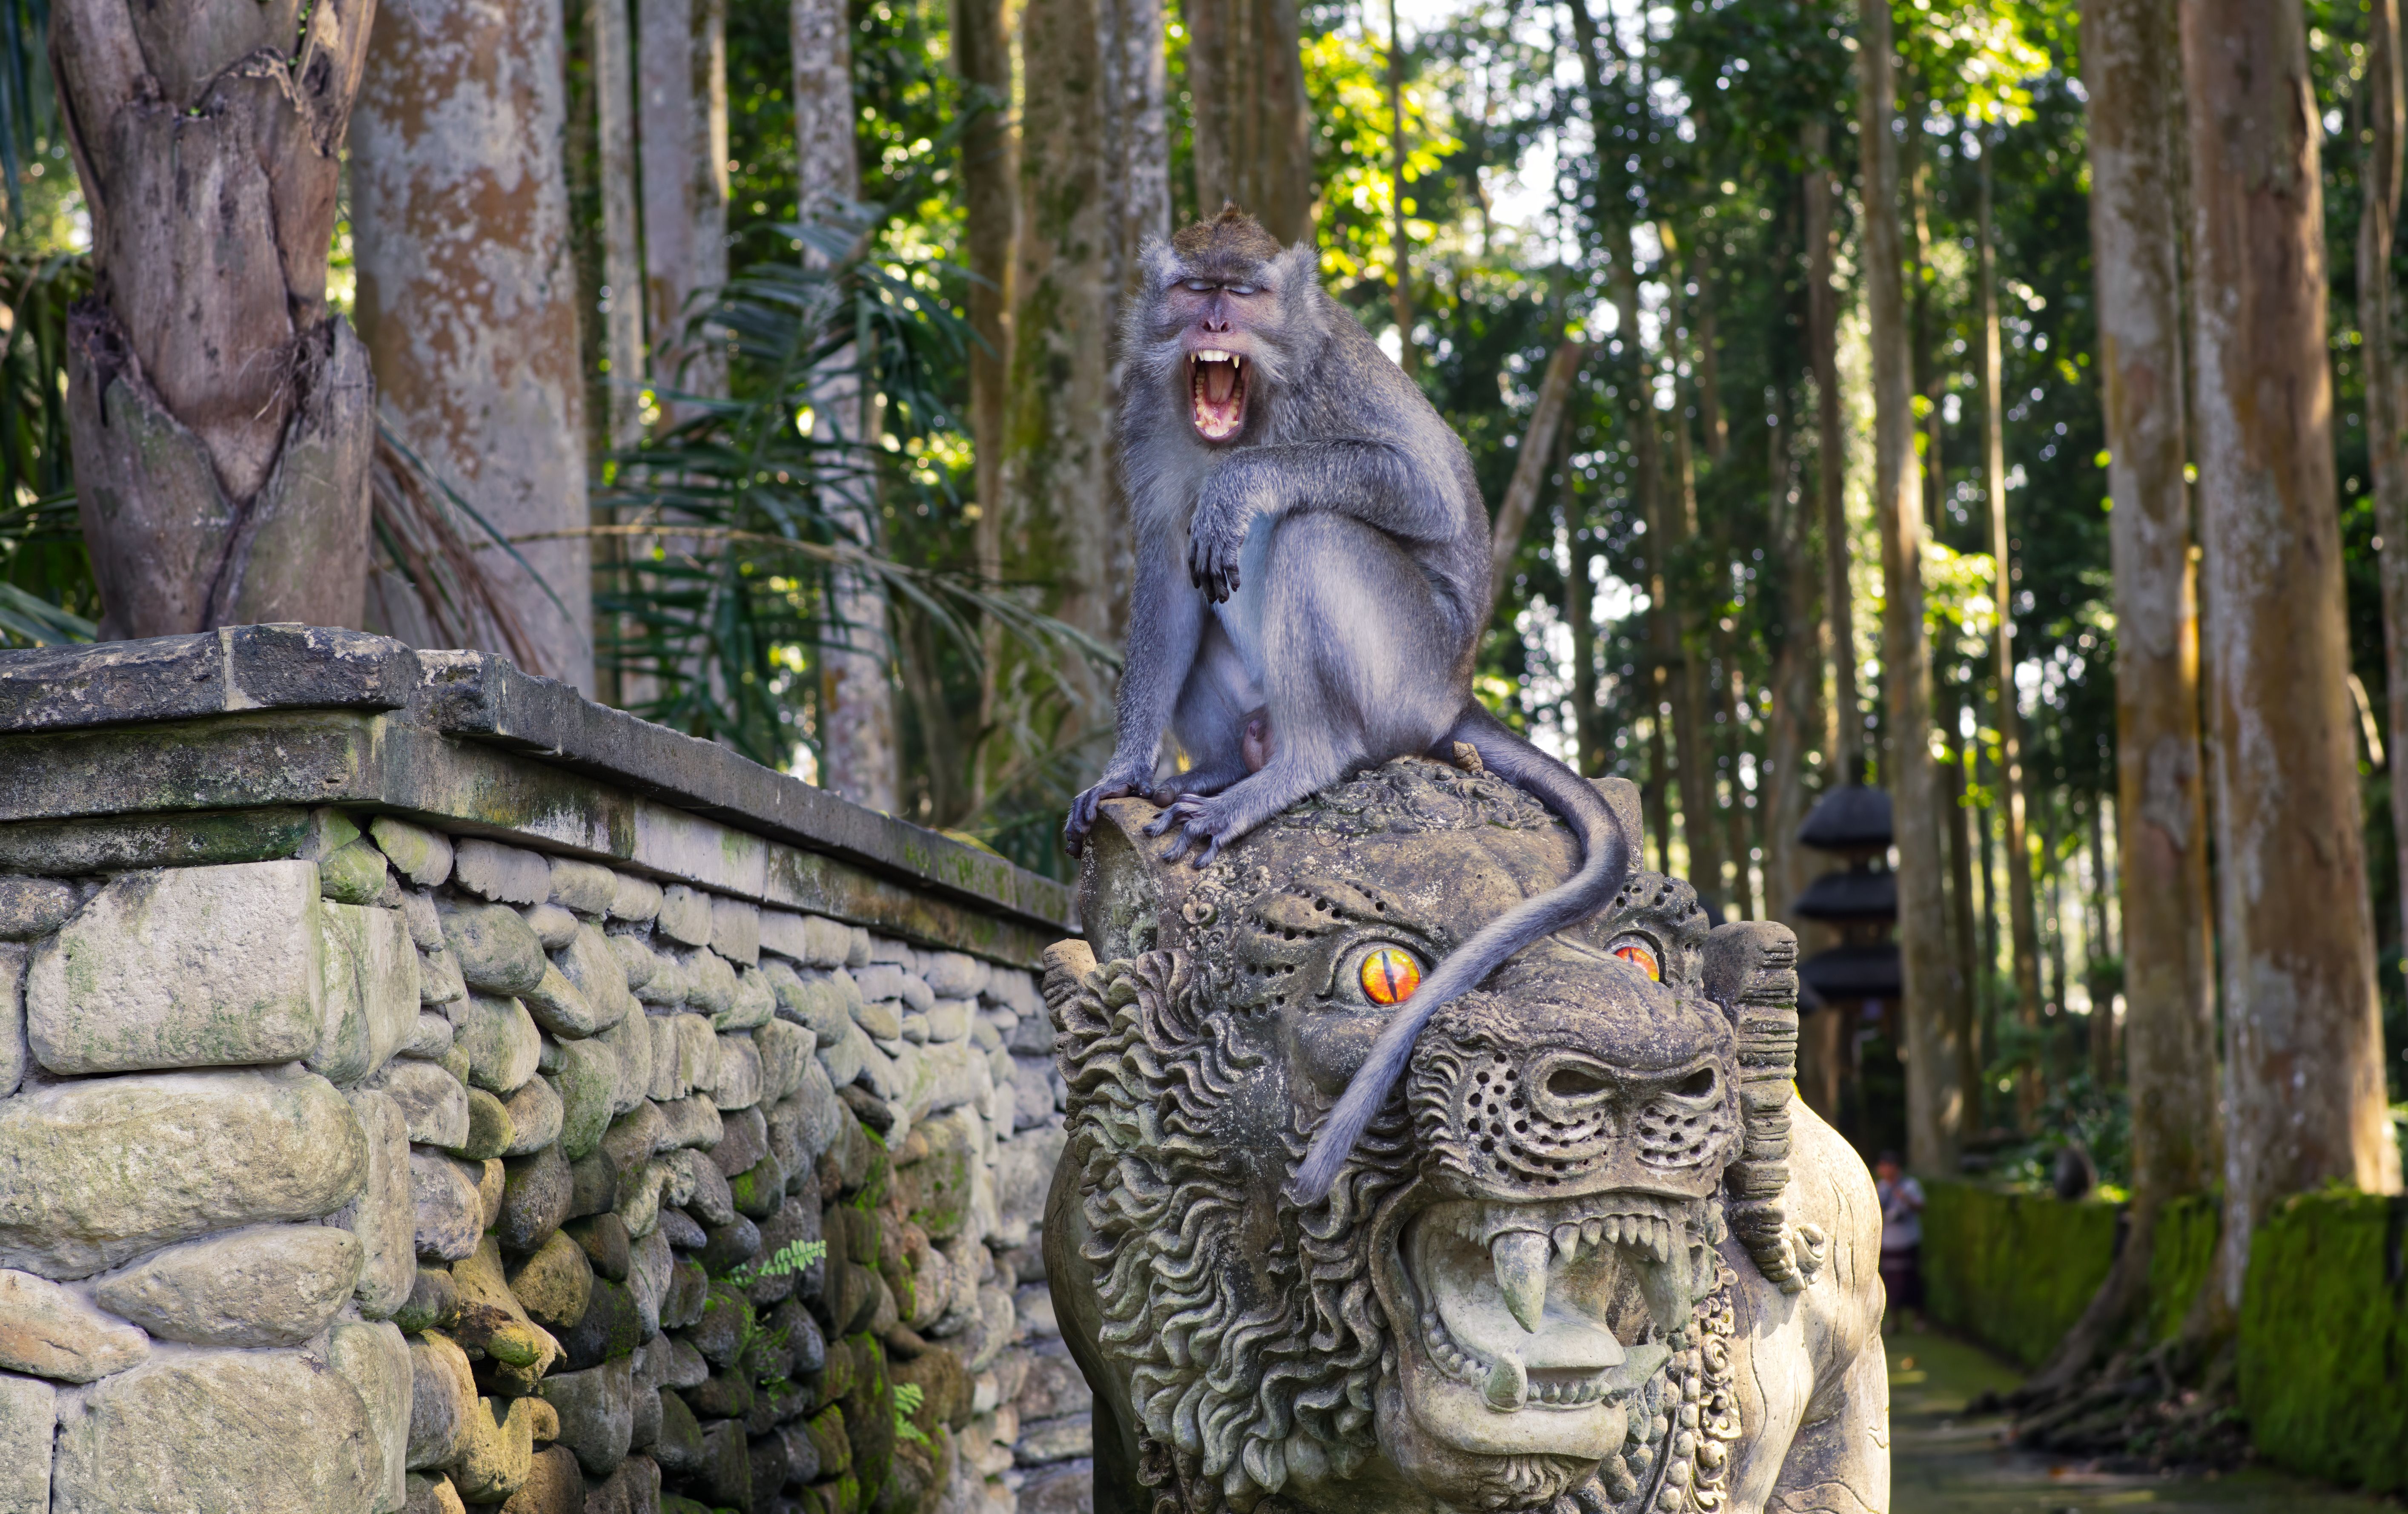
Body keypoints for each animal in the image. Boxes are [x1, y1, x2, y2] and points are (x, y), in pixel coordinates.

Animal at [1059, 205, 1638, 1205]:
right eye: (1195, 289)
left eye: (1242, 292)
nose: (1214, 323)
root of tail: (1455, 697)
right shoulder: (1146, 412)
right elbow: (1167, 565)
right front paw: (1124, 772)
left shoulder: (1333, 381)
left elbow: (1420, 489)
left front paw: (1242, 484)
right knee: (1211, 572)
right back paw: (1218, 769)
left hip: (1400, 664)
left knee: (1312, 528)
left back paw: (1293, 769)